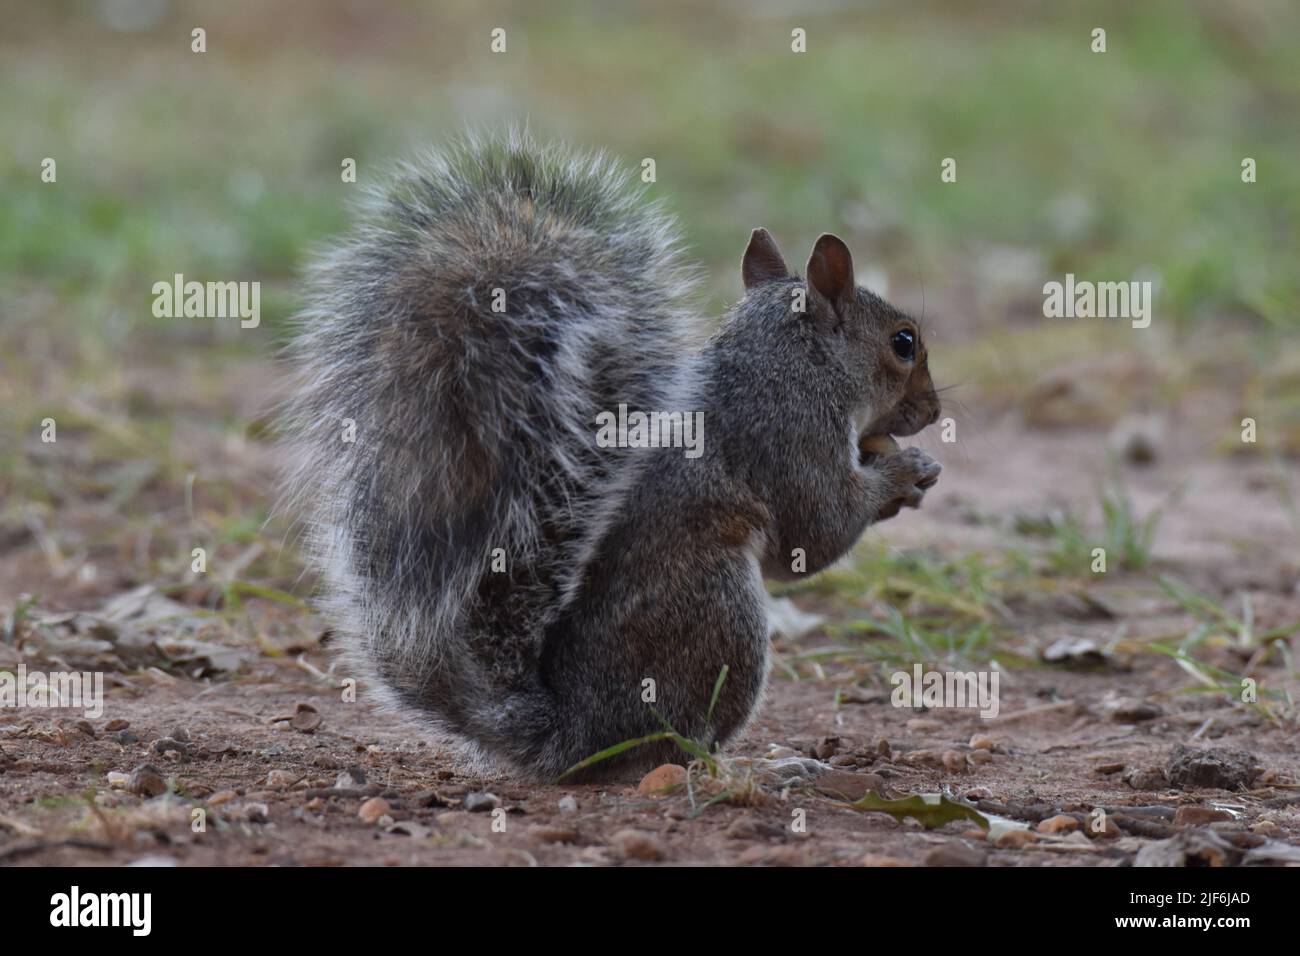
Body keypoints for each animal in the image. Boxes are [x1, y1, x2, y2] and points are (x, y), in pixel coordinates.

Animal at [280, 130, 942, 781]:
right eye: (903, 342)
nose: (934, 411)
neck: (786, 359)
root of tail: (573, 735)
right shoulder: (790, 434)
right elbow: (815, 532)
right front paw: (904, 474)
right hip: (719, 616)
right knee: (672, 747)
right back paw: (756, 770)